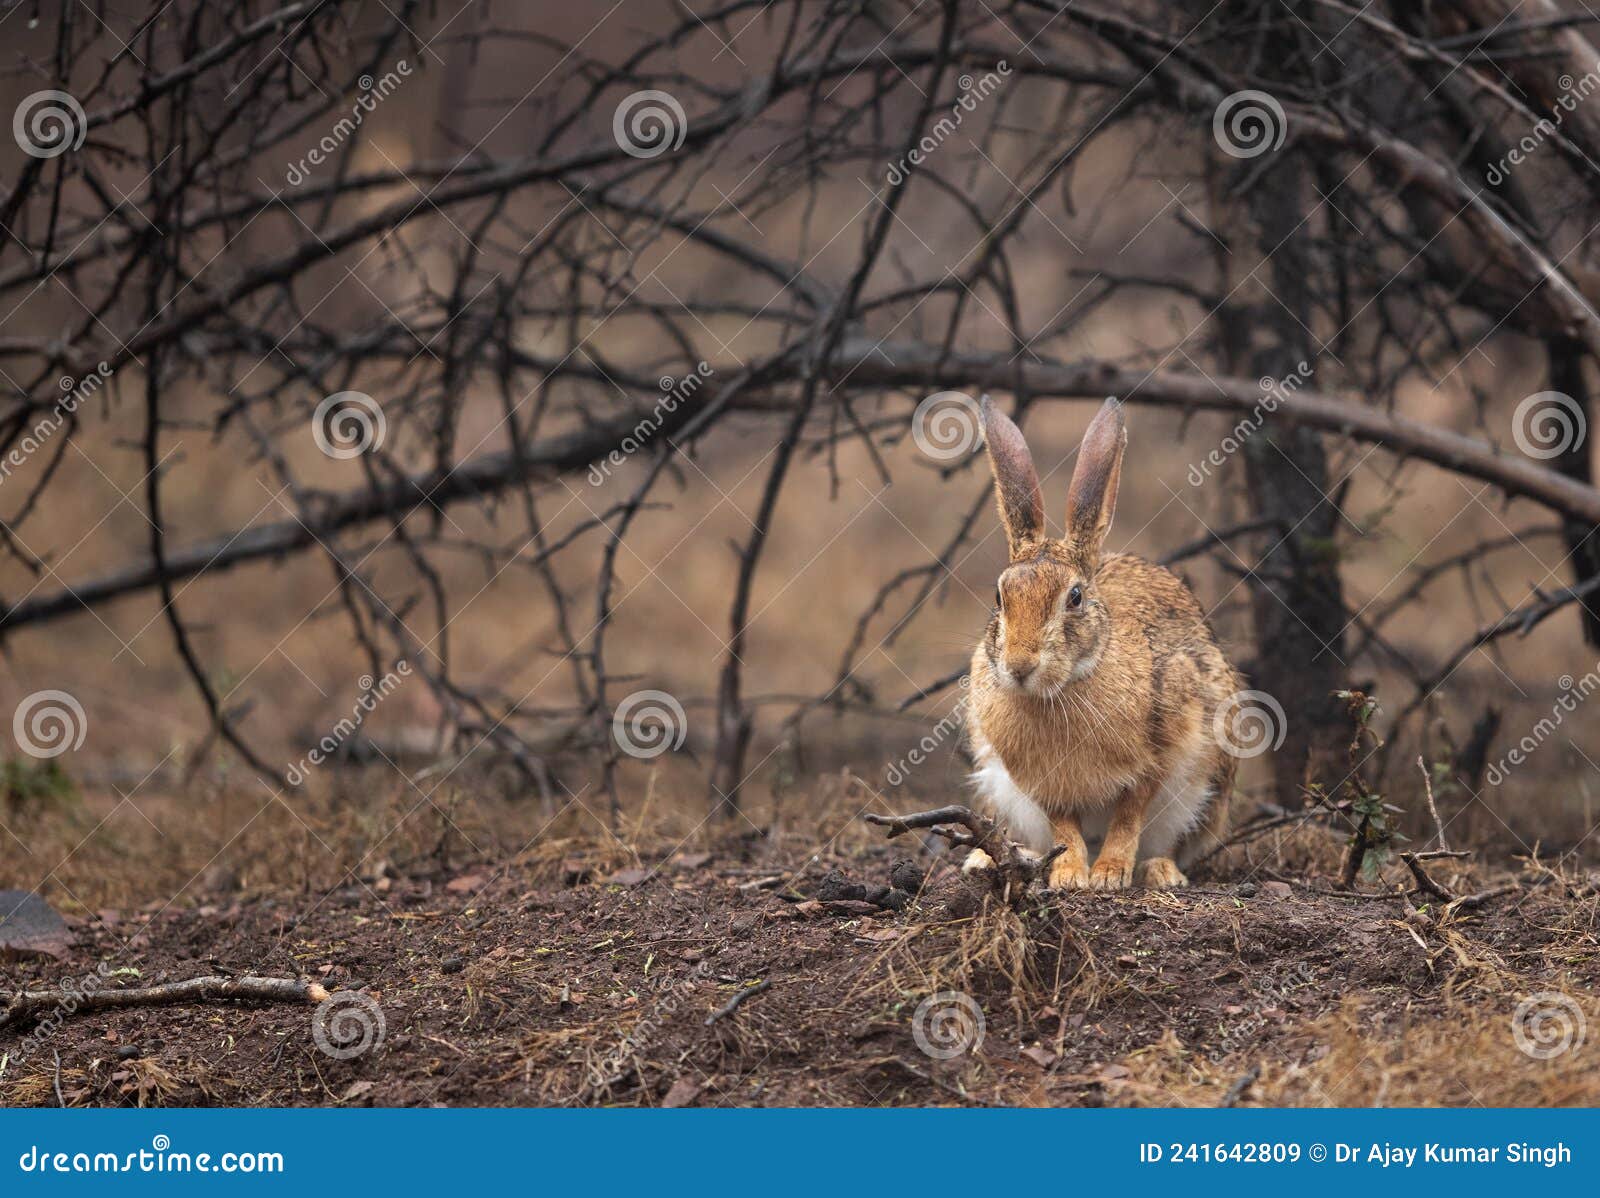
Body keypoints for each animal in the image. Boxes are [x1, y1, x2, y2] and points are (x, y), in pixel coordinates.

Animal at [962, 396, 1240, 889]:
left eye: (1074, 597)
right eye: (999, 597)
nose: (1019, 665)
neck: (1063, 687)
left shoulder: (1159, 757)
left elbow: (1129, 814)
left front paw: (1109, 873)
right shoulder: (1039, 783)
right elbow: (1064, 826)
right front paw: (1071, 874)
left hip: (1208, 784)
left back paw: (1161, 870)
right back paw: (993, 859)